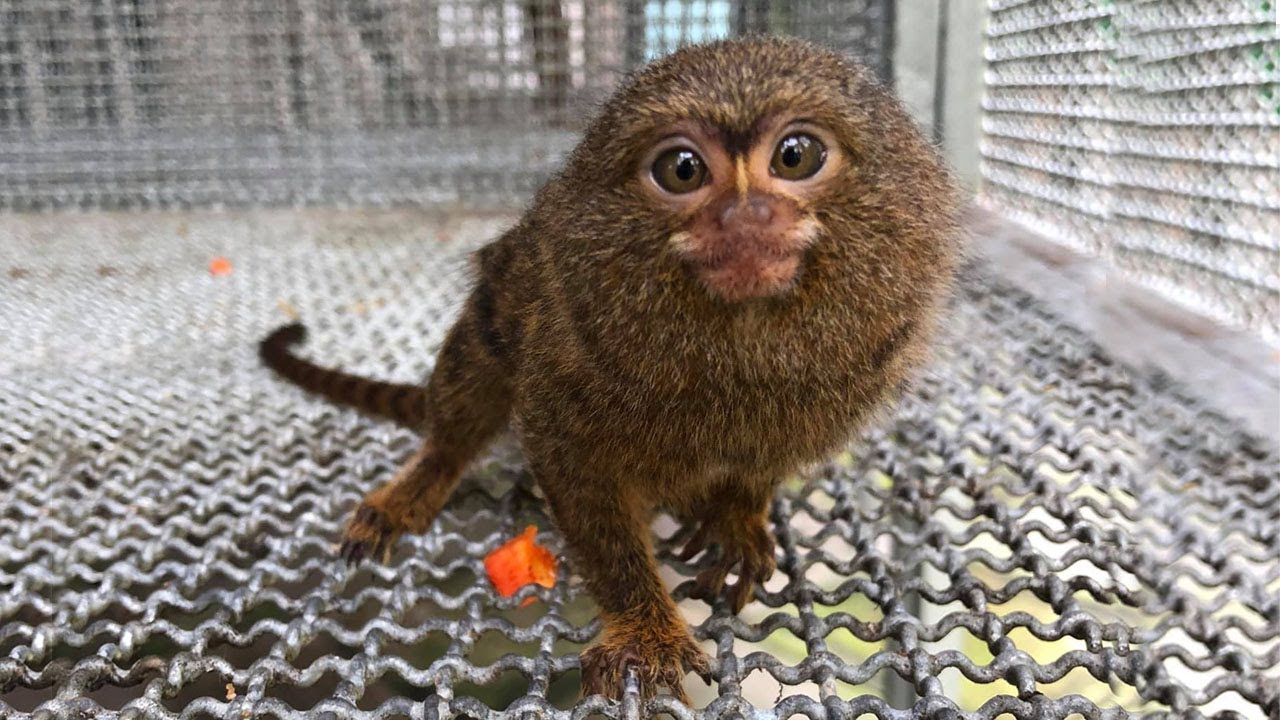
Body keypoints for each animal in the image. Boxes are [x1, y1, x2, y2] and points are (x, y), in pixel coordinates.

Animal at [260, 37, 961, 702]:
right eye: (682, 170)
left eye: (795, 157)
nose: (745, 216)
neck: (736, 356)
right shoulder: (561, 351)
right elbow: (580, 486)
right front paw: (646, 626)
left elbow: (758, 467)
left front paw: (738, 518)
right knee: (472, 381)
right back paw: (418, 485)